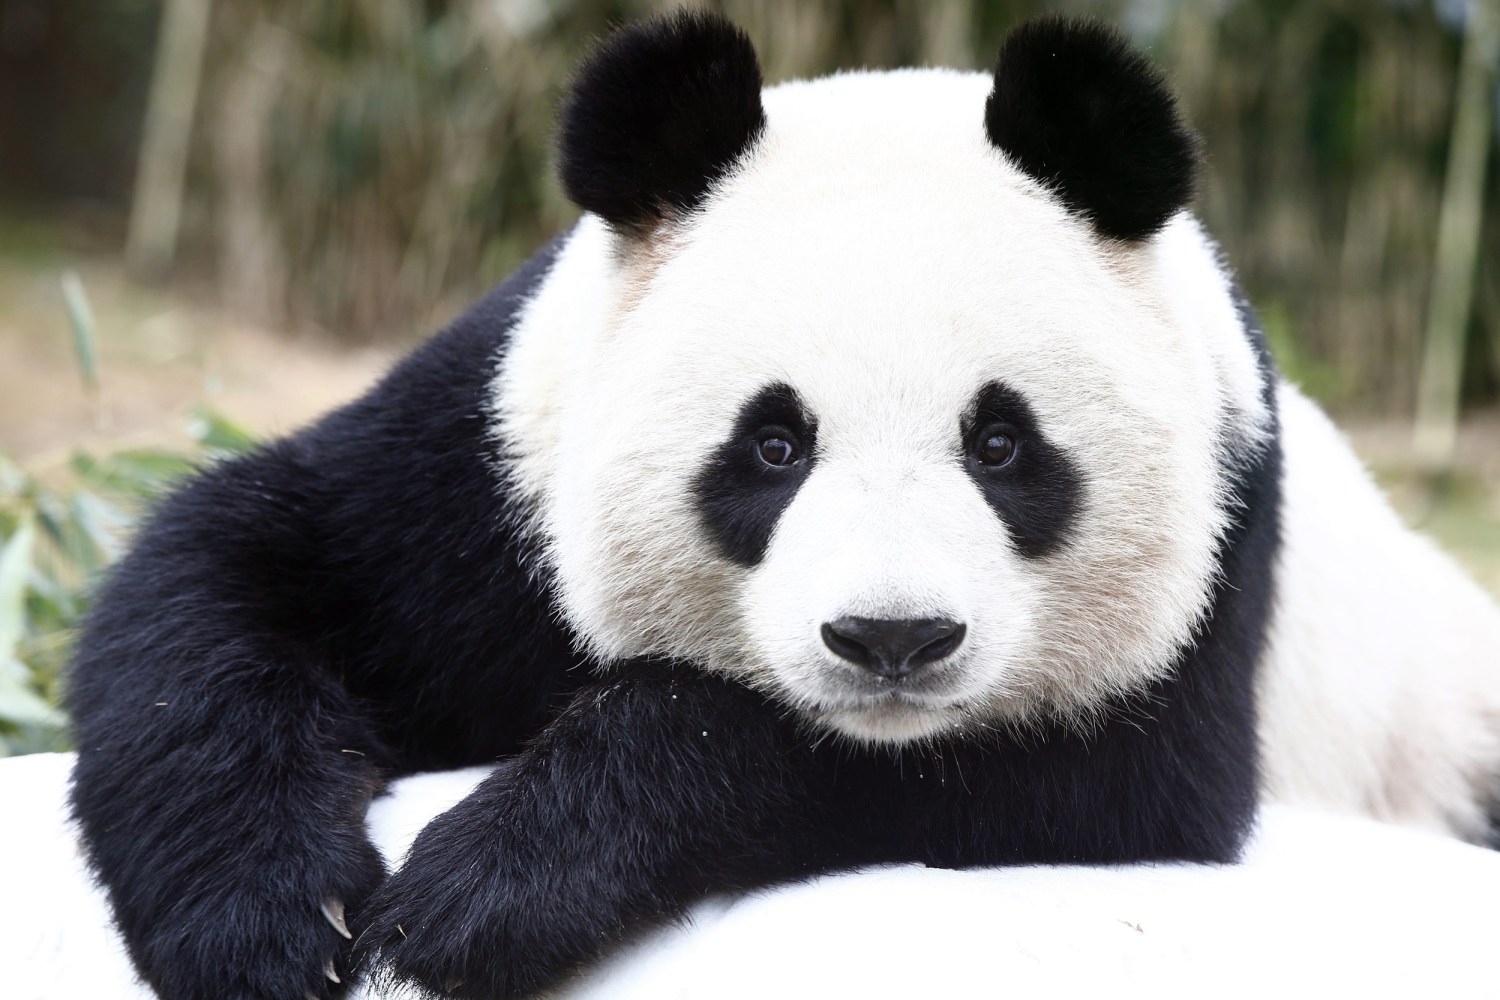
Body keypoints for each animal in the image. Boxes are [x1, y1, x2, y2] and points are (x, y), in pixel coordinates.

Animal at [65, 10, 1500, 1000]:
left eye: (1001, 444)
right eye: (771, 446)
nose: (893, 642)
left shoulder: (1216, 559)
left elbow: (1074, 779)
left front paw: (482, 893)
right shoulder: (490, 470)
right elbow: (231, 570)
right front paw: (263, 922)